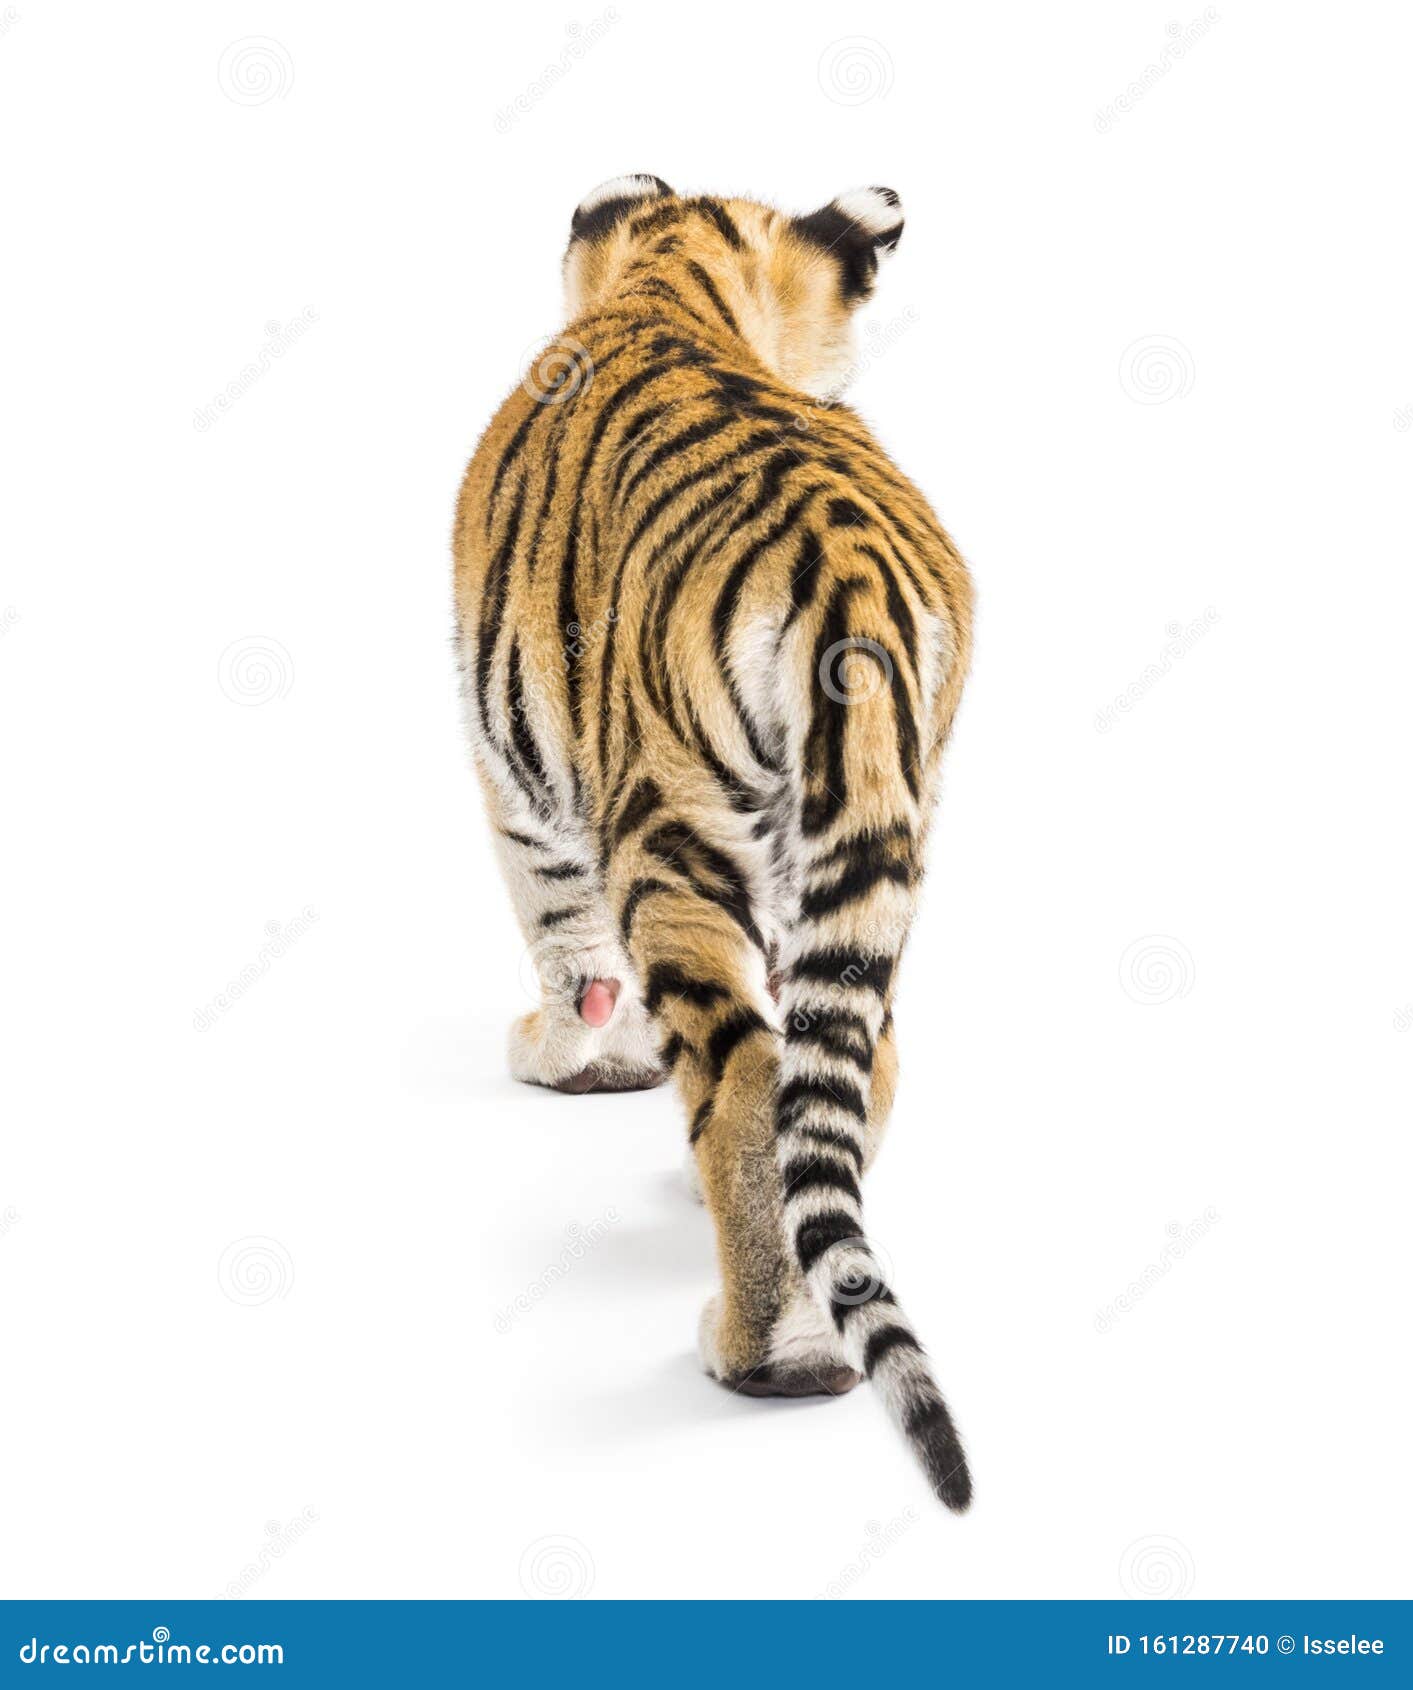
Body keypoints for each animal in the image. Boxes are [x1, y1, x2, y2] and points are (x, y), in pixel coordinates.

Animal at [452, 175, 975, 1510]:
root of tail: (847, 566)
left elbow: (559, 927)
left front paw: (573, 1056)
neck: (678, 278)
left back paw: (765, 1351)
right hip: (884, 827)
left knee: (743, 1078)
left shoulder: (514, 776)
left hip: (672, 829)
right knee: (849, 1067)